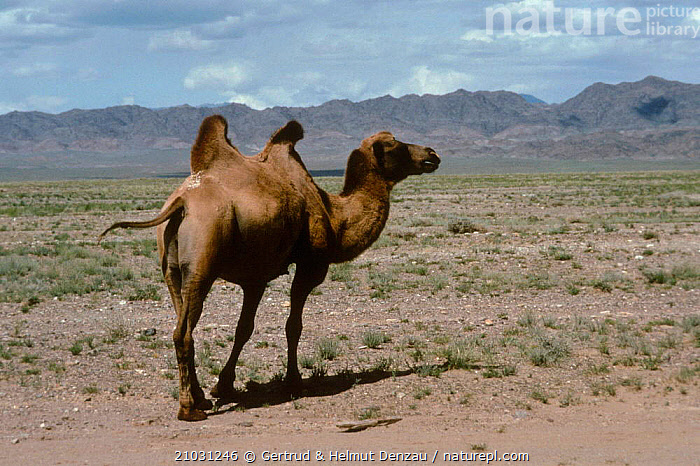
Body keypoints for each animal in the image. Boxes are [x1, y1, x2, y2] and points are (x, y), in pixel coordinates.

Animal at [99, 115, 440, 421]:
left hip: (170, 269)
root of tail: (181, 202)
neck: (335, 217)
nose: (431, 154)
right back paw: (189, 410)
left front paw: (223, 387)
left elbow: (243, 329)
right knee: (182, 332)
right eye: (395, 145)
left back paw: (199, 398)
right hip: (201, 265)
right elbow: (293, 326)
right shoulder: (310, 265)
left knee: (182, 324)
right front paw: (293, 382)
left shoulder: (256, 277)